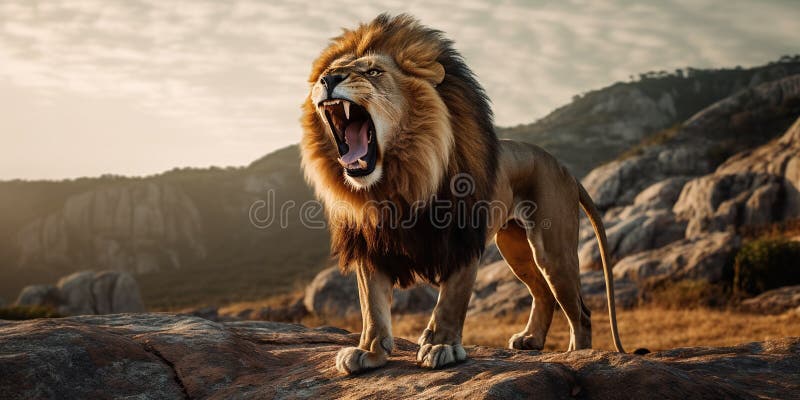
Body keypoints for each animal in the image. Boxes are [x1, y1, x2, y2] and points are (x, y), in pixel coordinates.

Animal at [300, 14, 625, 374]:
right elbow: (372, 305)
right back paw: (531, 340)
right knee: (543, 293)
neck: (396, 183)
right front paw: (368, 351)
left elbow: (451, 300)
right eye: (333, 69)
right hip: (514, 246)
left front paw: (440, 345)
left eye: (373, 72)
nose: (329, 78)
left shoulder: (462, 238)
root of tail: (564, 168)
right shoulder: (371, 243)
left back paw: (578, 355)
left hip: (553, 249)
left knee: (580, 310)